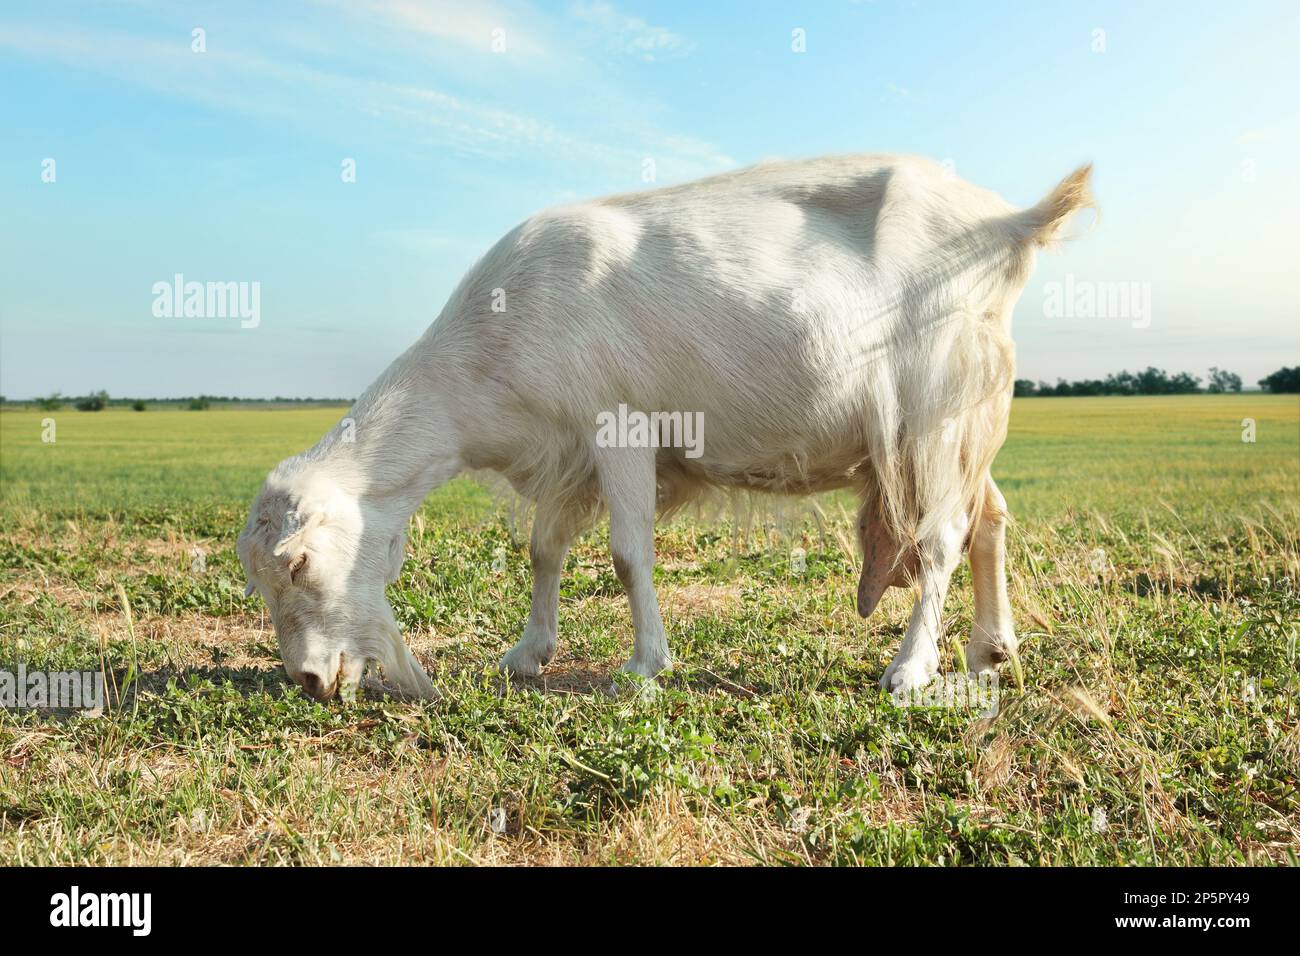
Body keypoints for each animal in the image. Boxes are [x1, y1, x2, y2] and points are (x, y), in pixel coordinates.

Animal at [237, 153, 1093, 701]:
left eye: (301, 563)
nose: (309, 681)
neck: (485, 355)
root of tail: (1006, 224)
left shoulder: (619, 425)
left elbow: (626, 552)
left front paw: (646, 664)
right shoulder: (570, 453)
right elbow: (544, 547)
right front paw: (528, 652)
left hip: (931, 400)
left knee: (942, 534)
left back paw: (912, 669)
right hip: (962, 417)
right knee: (991, 517)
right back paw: (990, 648)